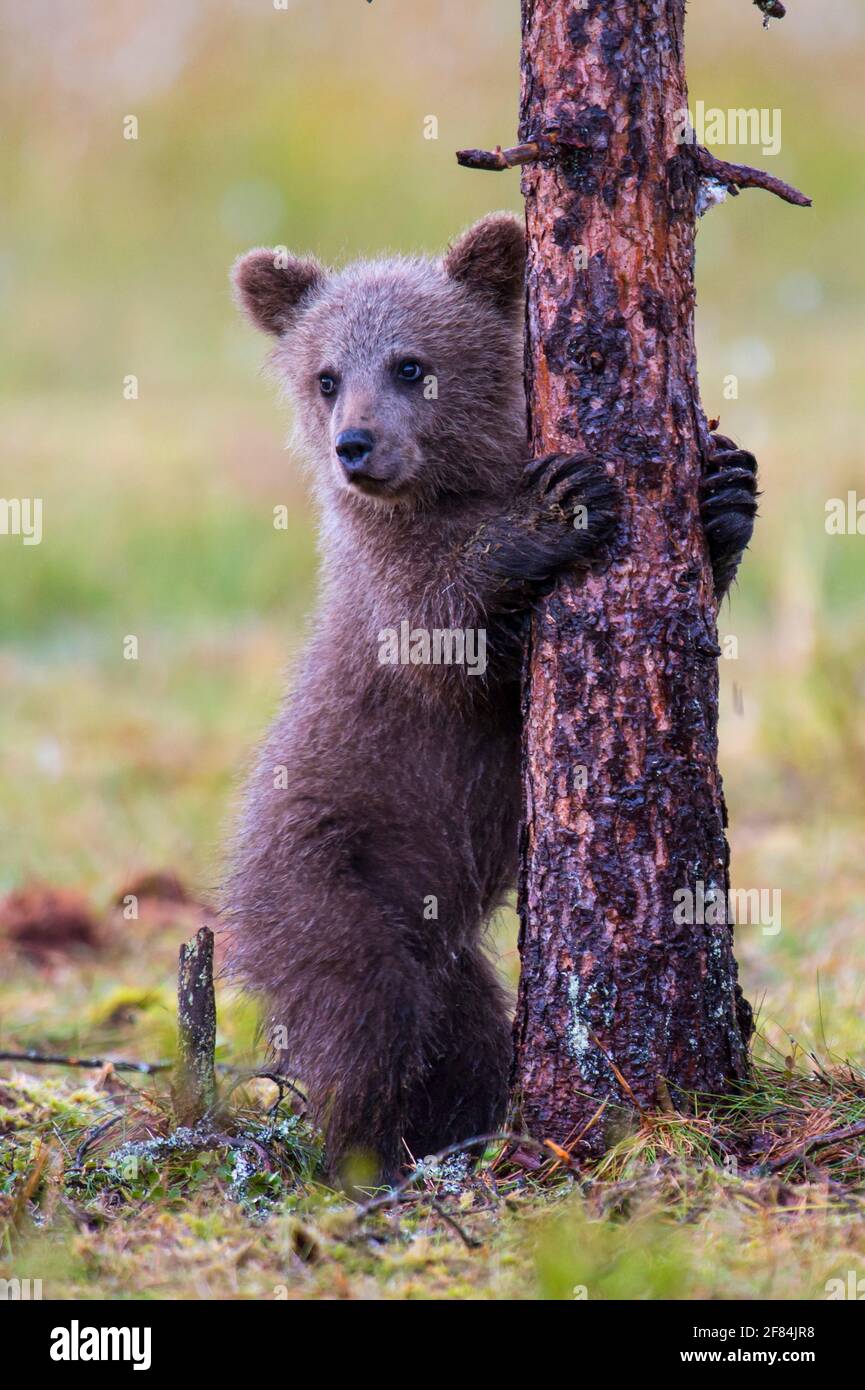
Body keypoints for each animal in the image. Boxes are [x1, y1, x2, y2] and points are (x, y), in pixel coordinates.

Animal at [223, 213, 758, 1181]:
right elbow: (449, 642)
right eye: (326, 376)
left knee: (459, 1032)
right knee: (366, 1019)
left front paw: (725, 491)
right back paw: (365, 1154)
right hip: (322, 882)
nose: (355, 446)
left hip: (437, 941)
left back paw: (462, 1123)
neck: (447, 490)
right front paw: (557, 504)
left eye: (410, 365)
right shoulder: (393, 597)